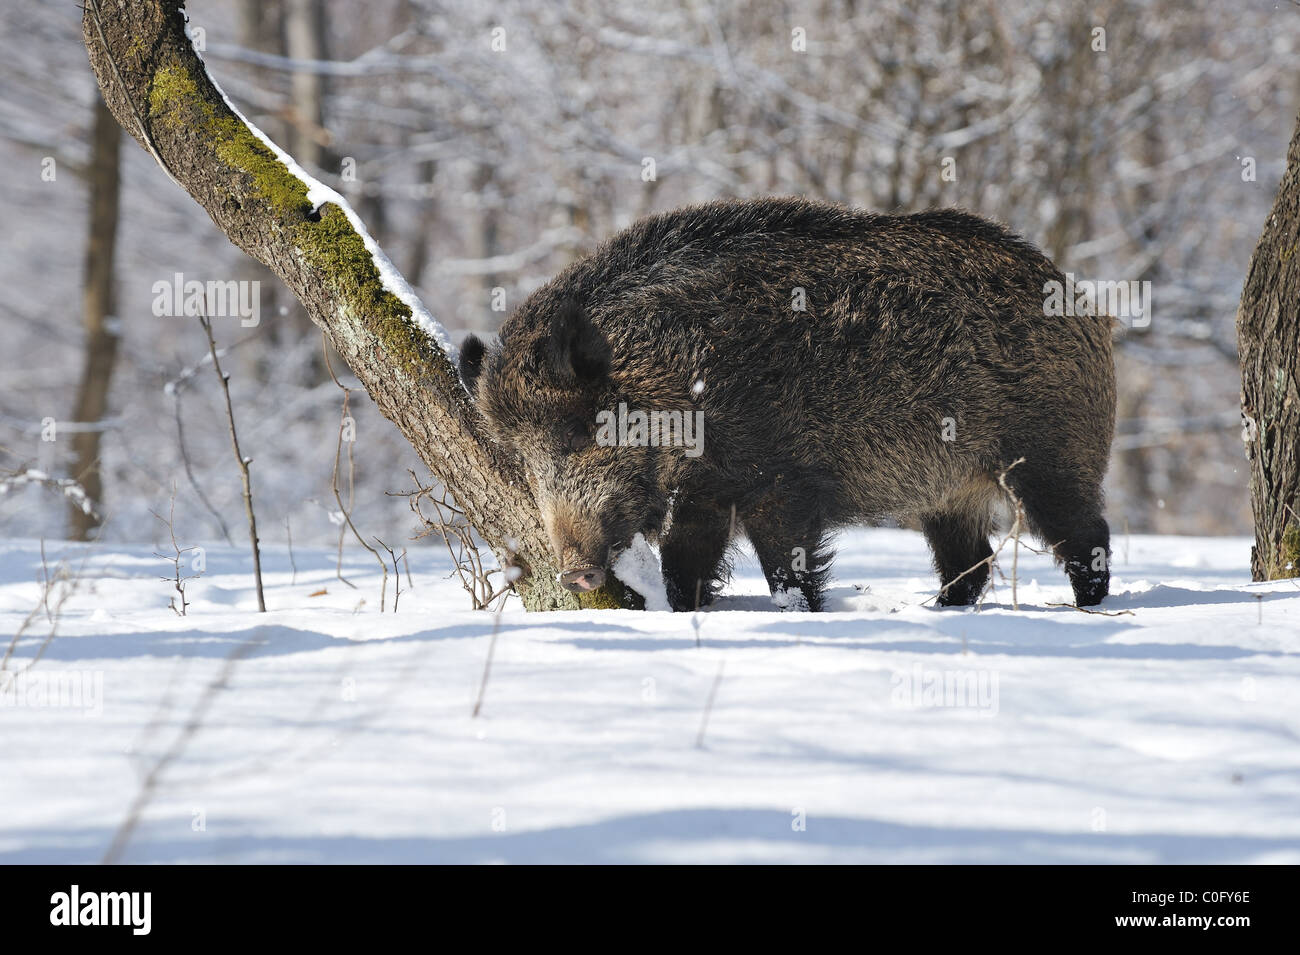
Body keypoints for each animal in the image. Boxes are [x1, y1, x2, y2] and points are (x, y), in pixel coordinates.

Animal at [459, 196, 1115, 611]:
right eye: (519, 456)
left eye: (581, 429)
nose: (575, 572)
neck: (682, 379)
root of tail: (1080, 303)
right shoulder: (704, 492)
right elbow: (684, 565)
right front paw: (687, 613)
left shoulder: (779, 478)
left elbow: (785, 563)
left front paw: (800, 614)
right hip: (951, 490)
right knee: (969, 559)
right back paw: (940, 609)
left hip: (1053, 453)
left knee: (1086, 534)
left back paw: (1088, 610)